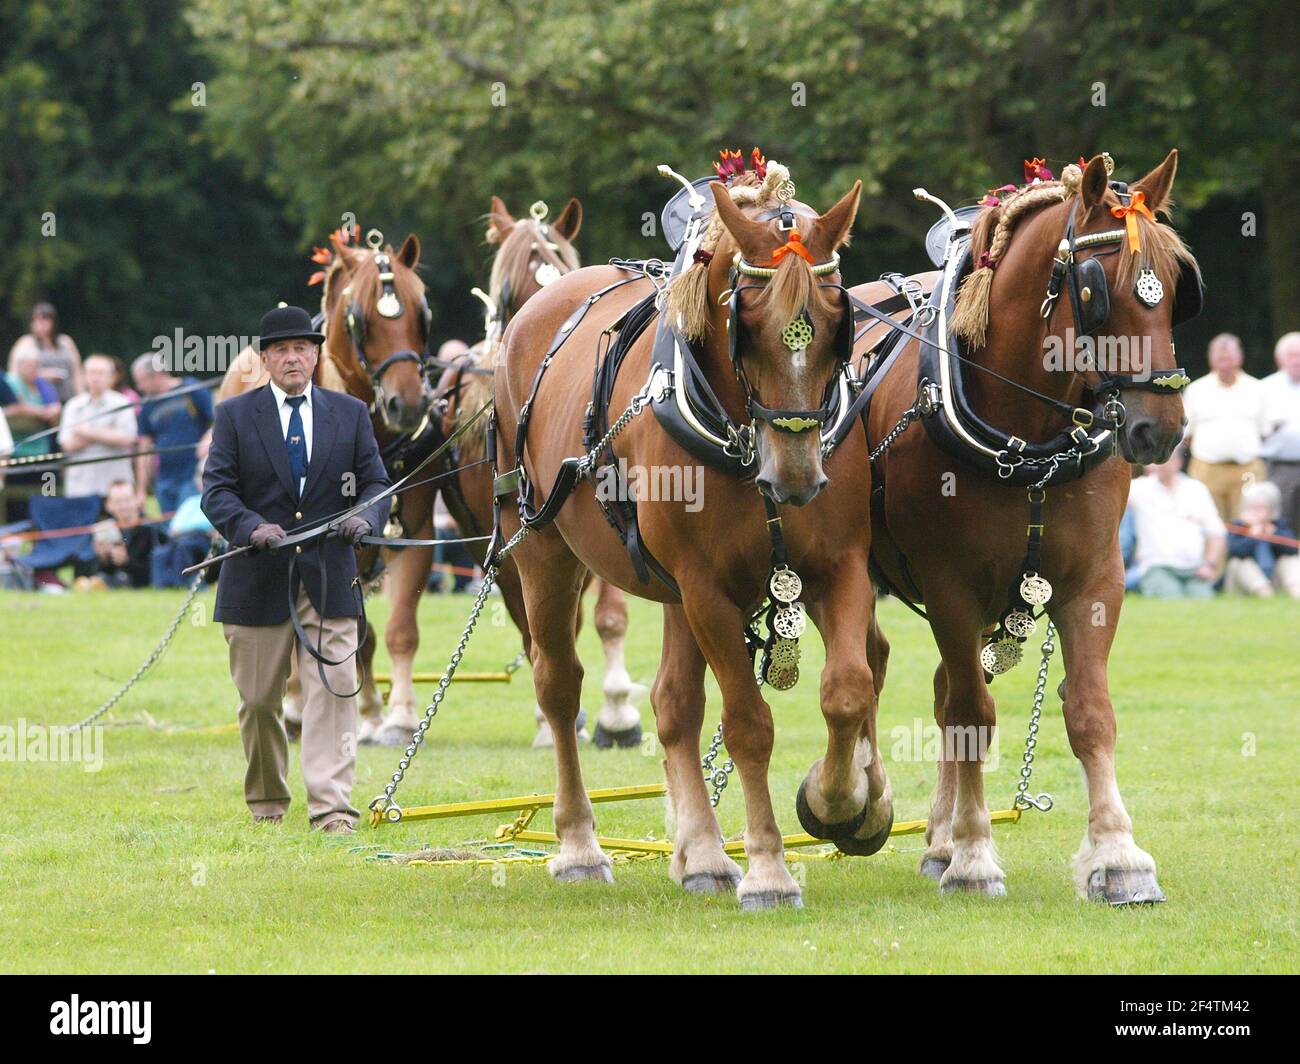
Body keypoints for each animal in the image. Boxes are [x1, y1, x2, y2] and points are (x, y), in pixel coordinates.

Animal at [427, 195, 650, 749]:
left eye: (565, 264)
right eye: (509, 293)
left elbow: (609, 617)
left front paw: (618, 714)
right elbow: (539, 628)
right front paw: (558, 720)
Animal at [491, 156, 888, 909]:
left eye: (837, 319)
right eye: (747, 320)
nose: (796, 473)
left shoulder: (840, 566)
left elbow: (849, 686)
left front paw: (844, 802)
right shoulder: (707, 589)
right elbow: (748, 724)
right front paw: (768, 868)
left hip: (673, 591)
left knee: (675, 704)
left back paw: (701, 853)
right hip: (545, 553)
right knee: (559, 687)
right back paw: (580, 844)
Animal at [853, 151, 1200, 902]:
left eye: (1178, 287)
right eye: (1101, 291)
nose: (1160, 430)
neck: (1027, 431)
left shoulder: (1094, 580)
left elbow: (1090, 712)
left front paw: (1118, 856)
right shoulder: (950, 586)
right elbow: (972, 716)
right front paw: (975, 857)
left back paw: (937, 839)